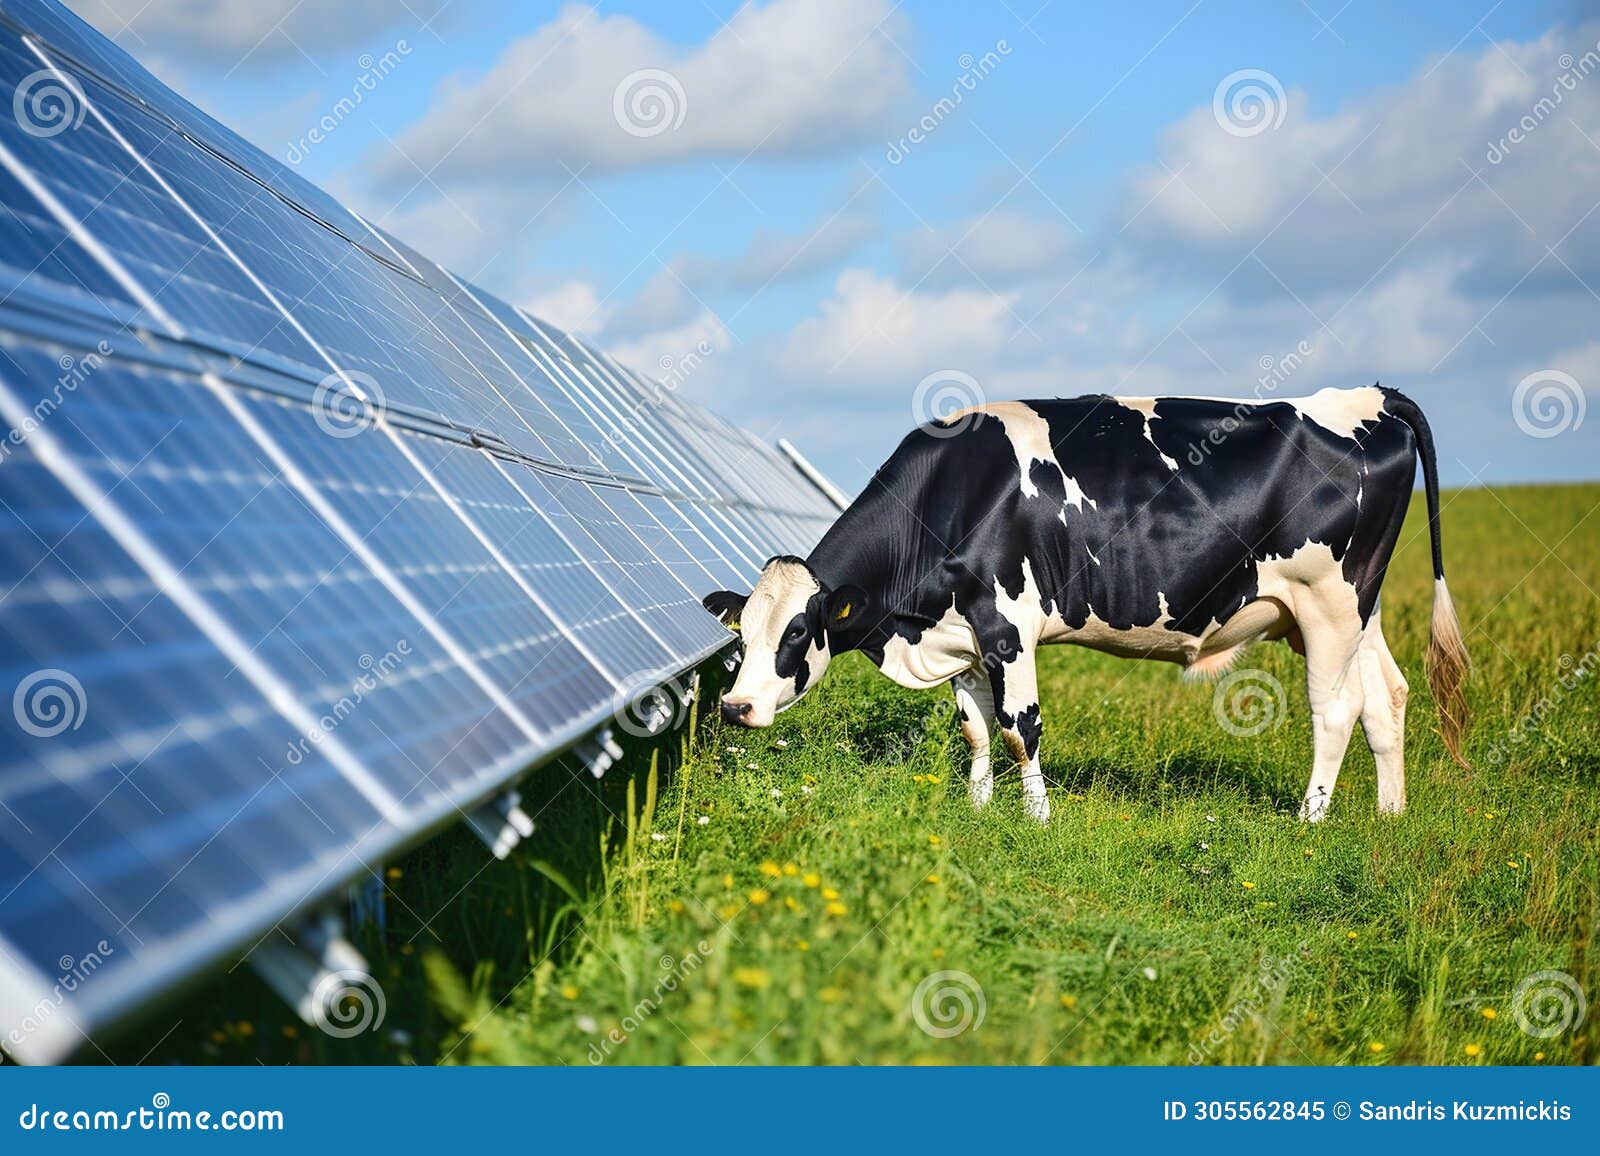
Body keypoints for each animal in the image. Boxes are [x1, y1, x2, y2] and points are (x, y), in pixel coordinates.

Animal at [702, 385, 1469, 823]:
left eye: (796, 632)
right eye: (742, 632)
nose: (734, 707)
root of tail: (1366, 395)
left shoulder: (1007, 623)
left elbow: (1019, 727)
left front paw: (1037, 819)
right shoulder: (963, 634)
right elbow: (975, 728)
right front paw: (979, 808)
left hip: (1329, 603)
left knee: (1334, 710)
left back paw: (1311, 821)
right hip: (1355, 611)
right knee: (1385, 696)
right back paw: (1390, 816)